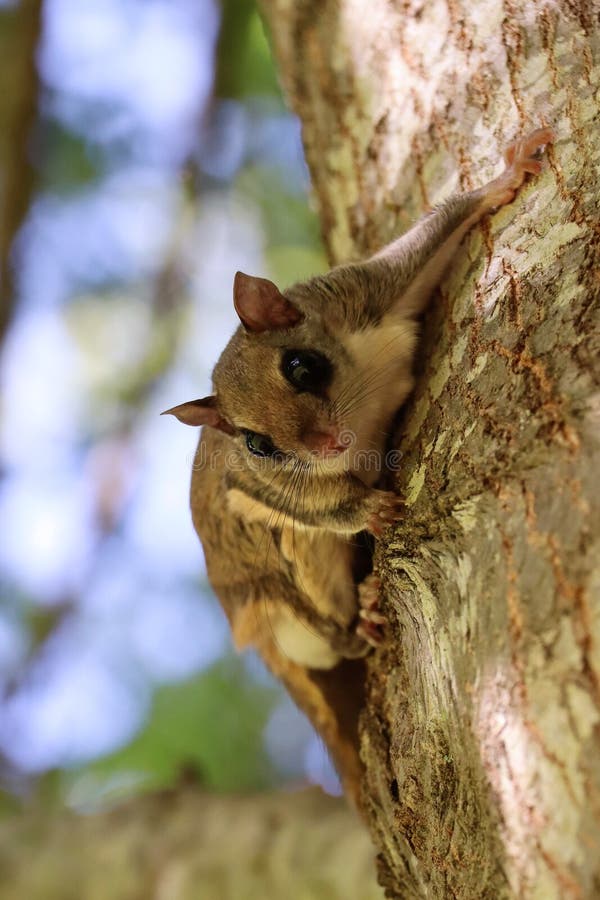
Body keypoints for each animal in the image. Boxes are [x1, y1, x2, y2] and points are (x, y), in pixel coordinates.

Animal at [163, 128, 554, 805]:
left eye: (301, 366)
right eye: (257, 444)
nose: (324, 444)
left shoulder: (361, 293)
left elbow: (432, 235)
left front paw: (505, 177)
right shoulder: (248, 486)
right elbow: (311, 504)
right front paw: (368, 506)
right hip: (284, 591)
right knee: (324, 626)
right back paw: (363, 614)